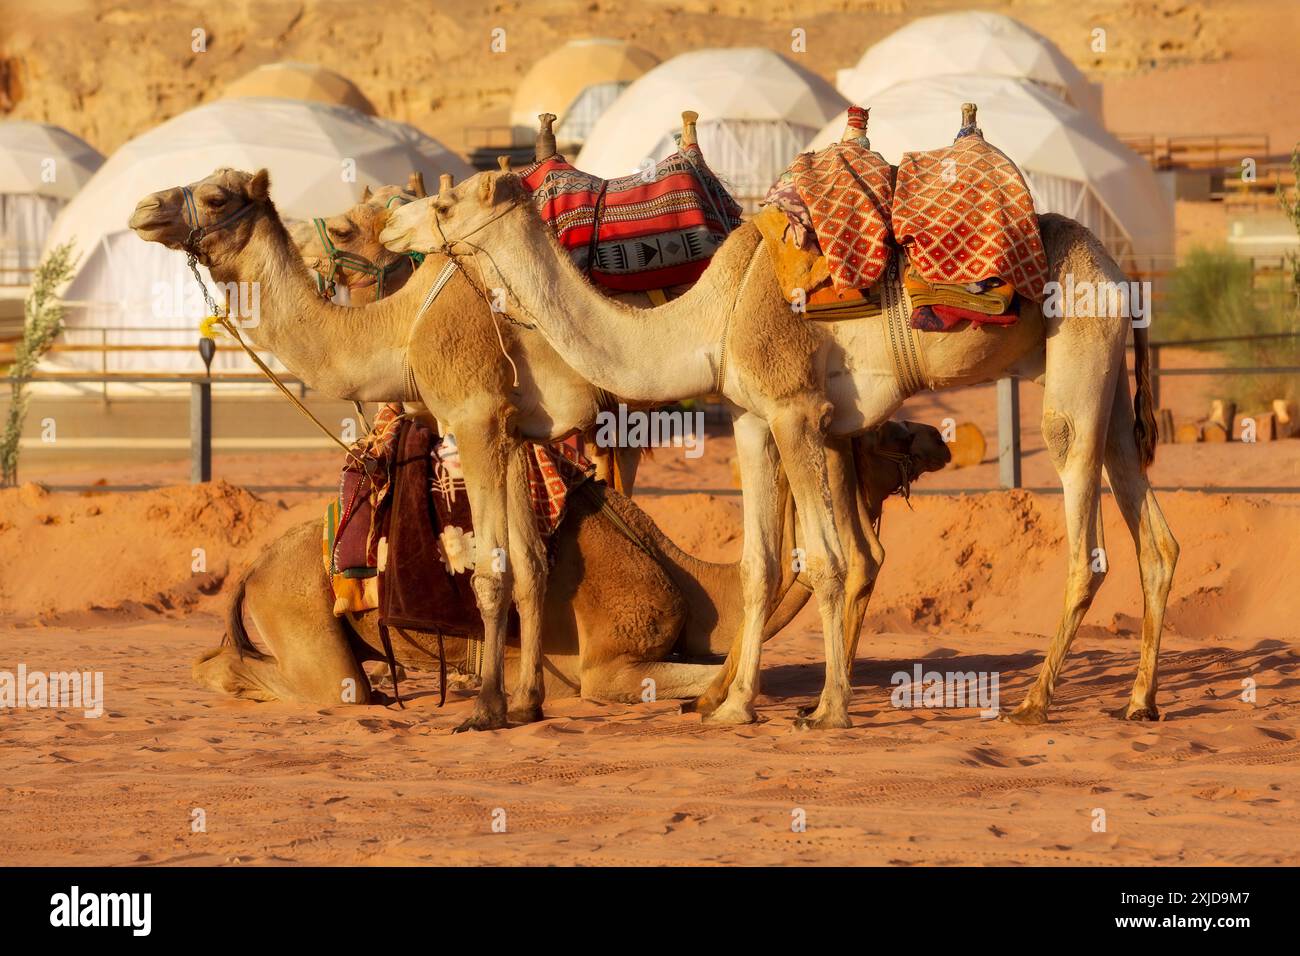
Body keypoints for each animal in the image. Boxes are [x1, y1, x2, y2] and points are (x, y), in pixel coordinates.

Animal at [194, 420, 950, 709]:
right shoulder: (606, 666)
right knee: (315, 683)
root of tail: (253, 564)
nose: (937, 438)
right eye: (881, 432)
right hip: (300, 610)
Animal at [380, 168, 1180, 728]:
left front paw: (826, 711)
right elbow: (759, 564)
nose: (390, 221)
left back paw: (1035, 703)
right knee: (1154, 533)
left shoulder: (796, 408)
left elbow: (825, 562)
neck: (711, 314)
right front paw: (736, 708)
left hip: (1076, 354)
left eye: (446, 205)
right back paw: (1139, 701)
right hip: (1107, 380)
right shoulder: (751, 417)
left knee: (1083, 526)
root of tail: (1122, 274)